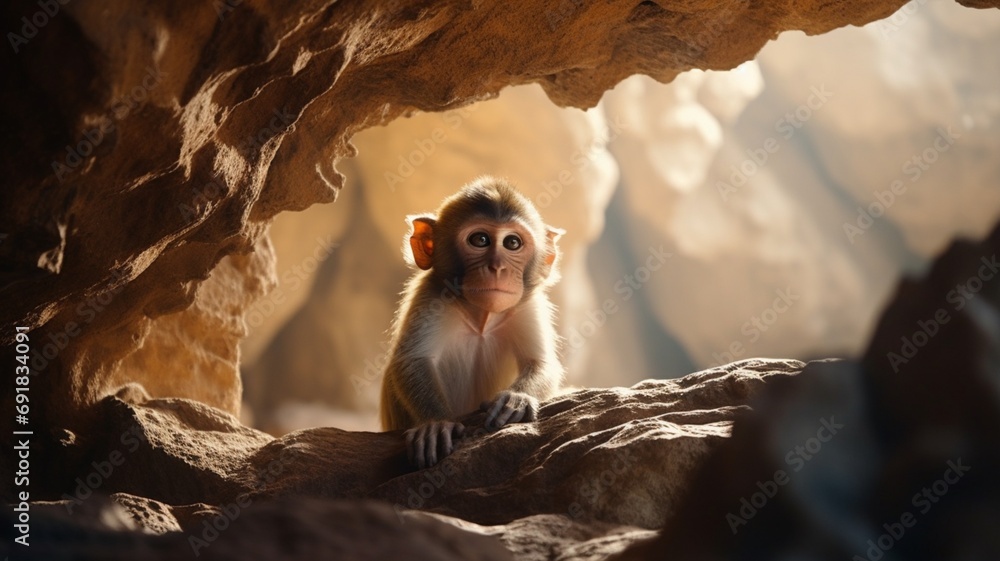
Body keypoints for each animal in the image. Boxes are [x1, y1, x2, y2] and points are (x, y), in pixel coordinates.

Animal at [380, 176, 565, 469]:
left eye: (512, 243)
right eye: (480, 240)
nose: (497, 268)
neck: (482, 318)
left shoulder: (528, 305)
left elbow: (541, 362)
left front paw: (516, 398)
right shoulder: (431, 295)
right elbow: (412, 360)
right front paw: (434, 424)